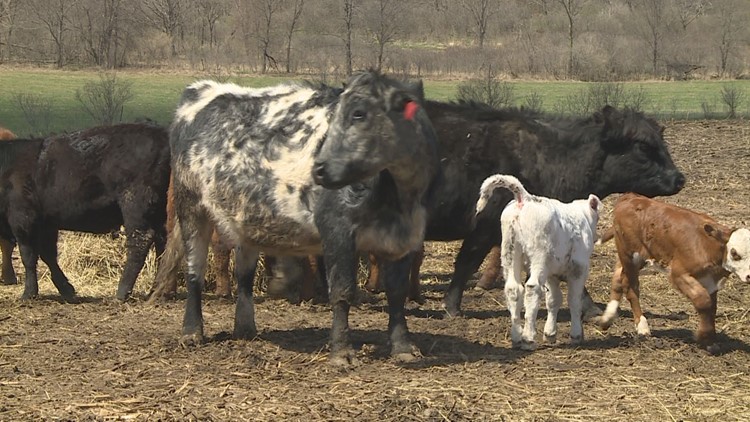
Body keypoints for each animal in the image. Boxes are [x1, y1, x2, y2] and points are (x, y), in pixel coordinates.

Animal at [0, 124, 170, 301]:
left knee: (140, 241)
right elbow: (48, 255)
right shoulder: (47, 224)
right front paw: (66, 289)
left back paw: (122, 293)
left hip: (136, 204)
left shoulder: (22, 219)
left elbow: (29, 256)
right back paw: (155, 291)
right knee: (162, 244)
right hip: (158, 211)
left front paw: (28, 293)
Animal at [160, 70, 440, 366]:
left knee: (244, 274)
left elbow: (397, 292)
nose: (320, 169)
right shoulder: (336, 229)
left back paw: (245, 328)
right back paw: (192, 332)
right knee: (195, 270)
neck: (399, 198)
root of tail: (201, 88)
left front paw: (403, 348)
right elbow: (342, 291)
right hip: (191, 207)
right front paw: (341, 352)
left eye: (359, 114)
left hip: (245, 215)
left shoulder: (406, 236)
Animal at [476, 174, 601, 349]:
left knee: (513, 289)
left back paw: (516, 337)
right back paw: (528, 338)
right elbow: (574, 299)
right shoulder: (579, 268)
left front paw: (550, 334)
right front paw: (576, 334)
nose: (597, 237)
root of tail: (524, 198)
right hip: (538, 257)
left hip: (510, 253)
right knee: (532, 288)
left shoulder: (551, 274)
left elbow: (553, 300)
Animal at [597, 193, 750, 354]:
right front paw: (703, 337)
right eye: (735, 253)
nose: (749, 276)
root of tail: (630, 196)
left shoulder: (710, 282)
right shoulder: (678, 273)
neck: (709, 247)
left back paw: (607, 318)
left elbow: (711, 308)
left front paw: (710, 341)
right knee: (631, 286)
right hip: (629, 254)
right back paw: (642, 326)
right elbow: (703, 301)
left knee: (618, 277)